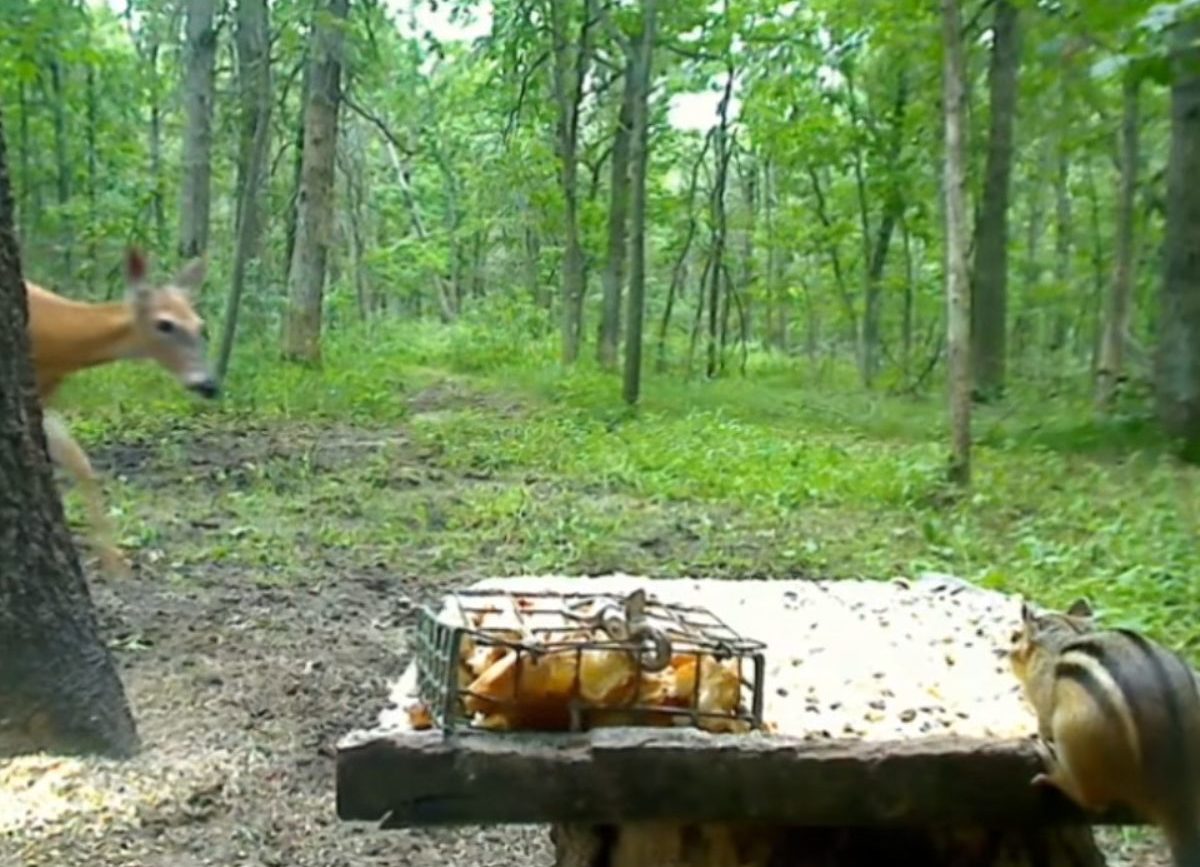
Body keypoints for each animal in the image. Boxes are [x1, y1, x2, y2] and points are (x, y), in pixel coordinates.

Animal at [25, 247, 219, 576]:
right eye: (164, 324)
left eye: (200, 325)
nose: (208, 384)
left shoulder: (42, 399)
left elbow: (81, 463)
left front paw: (114, 561)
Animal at [1009, 597, 1200, 867]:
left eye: (1015, 637)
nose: (1007, 655)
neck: (1062, 637)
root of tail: (1174, 793)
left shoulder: (1043, 696)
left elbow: (1042, 723)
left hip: (1075, 738)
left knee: (1092, 800)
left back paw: (1053, 769)